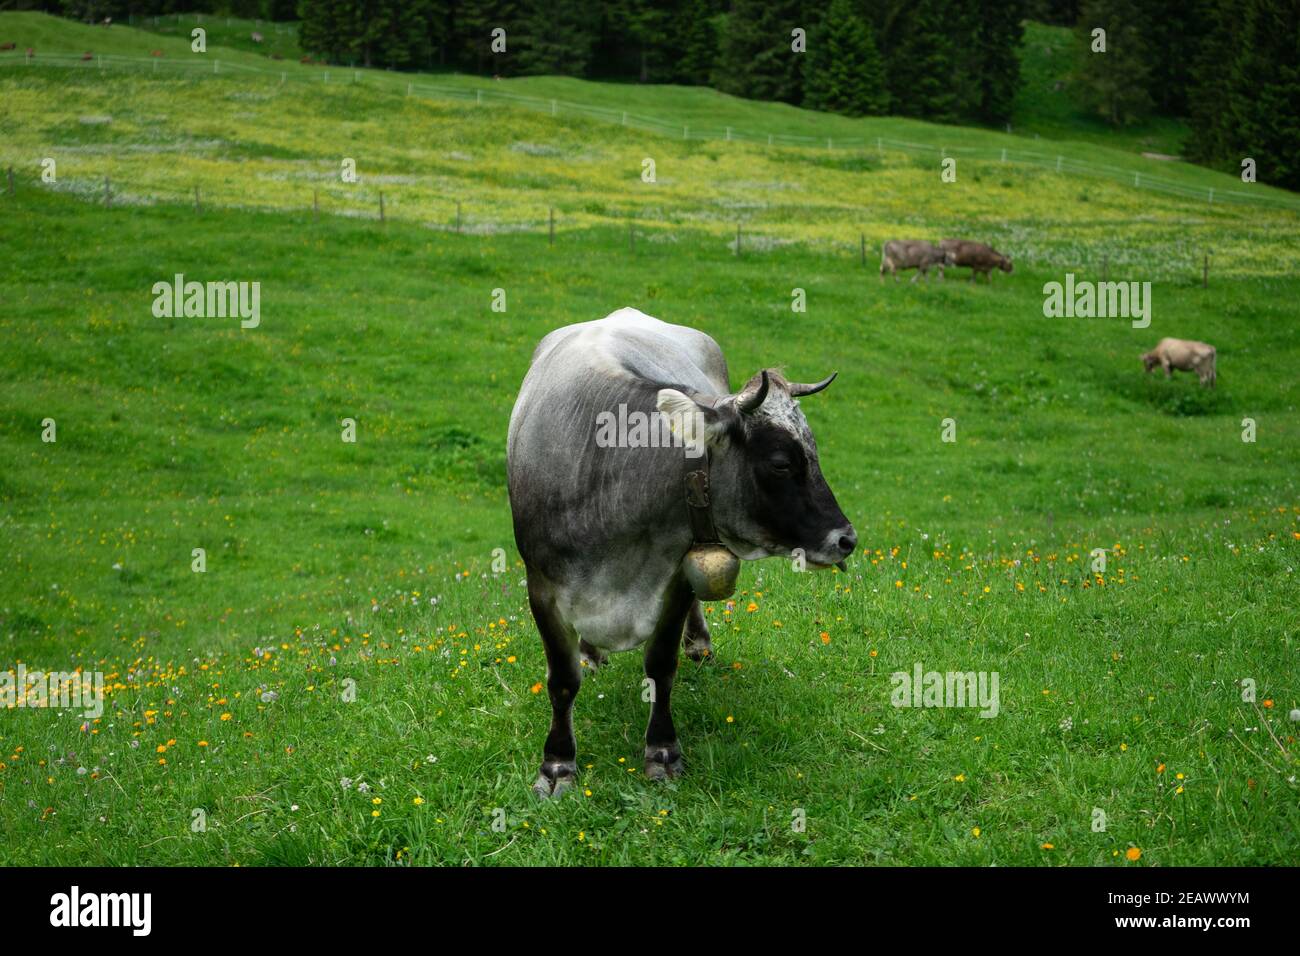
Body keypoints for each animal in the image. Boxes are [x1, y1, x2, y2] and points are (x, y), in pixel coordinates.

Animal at [507, 308, 856, 796]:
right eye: (781, 463)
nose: (846, 539)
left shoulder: (675, 579)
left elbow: (660, 667)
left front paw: (662, 752)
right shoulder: (541, 587)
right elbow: (562, 680)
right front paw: (557, 764)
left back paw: (700, 645)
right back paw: (591, 653)